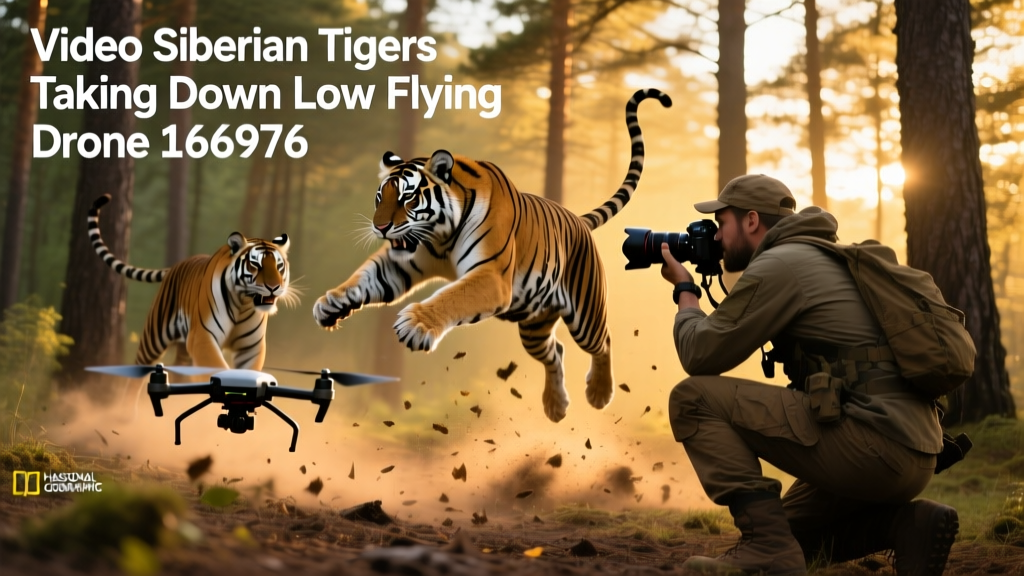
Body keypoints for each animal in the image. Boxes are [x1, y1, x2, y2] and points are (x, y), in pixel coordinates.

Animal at [88, 194, 296, 371]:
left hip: (183, 347)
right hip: (154, 337)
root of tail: (177, 264)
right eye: (255, 264)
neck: (243, 304)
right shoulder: (203, 338)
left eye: (279, 266)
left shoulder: (251, 348)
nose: (274, 287)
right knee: (139, 367)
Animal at [313, 88, 672, 422]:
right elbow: (365, 277)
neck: (440, 235)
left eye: (408, 197)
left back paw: (599, 392)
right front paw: (331, 302)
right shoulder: (402, 263)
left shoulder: (491, 277)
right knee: (555, 351)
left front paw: (416, 324)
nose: (380, 227)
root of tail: (579, 220)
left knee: (604, 342)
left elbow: (453, 295)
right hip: (534, 326)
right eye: (380, 197)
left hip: (586, 314)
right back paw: (555, 406)